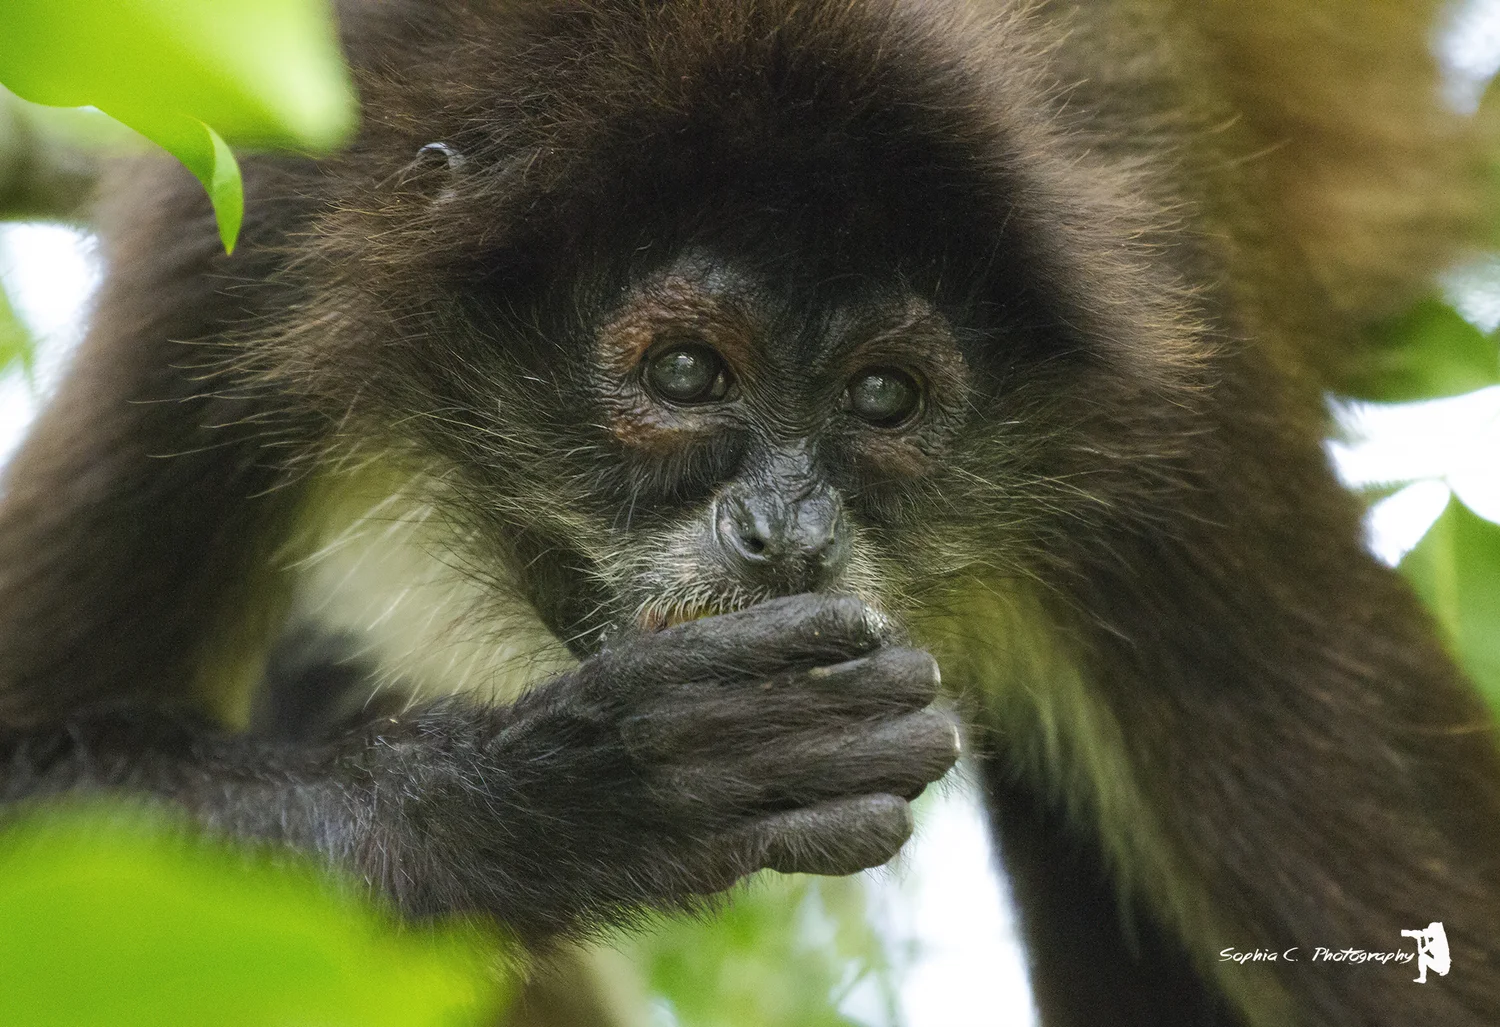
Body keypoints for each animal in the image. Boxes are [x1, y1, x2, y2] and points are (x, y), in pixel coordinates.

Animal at [1, 0, 1498, 1024]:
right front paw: (582, 795)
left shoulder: (1167, 368)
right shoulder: (248, 235)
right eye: (682, 373)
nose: (788, 531)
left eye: (885, 396)